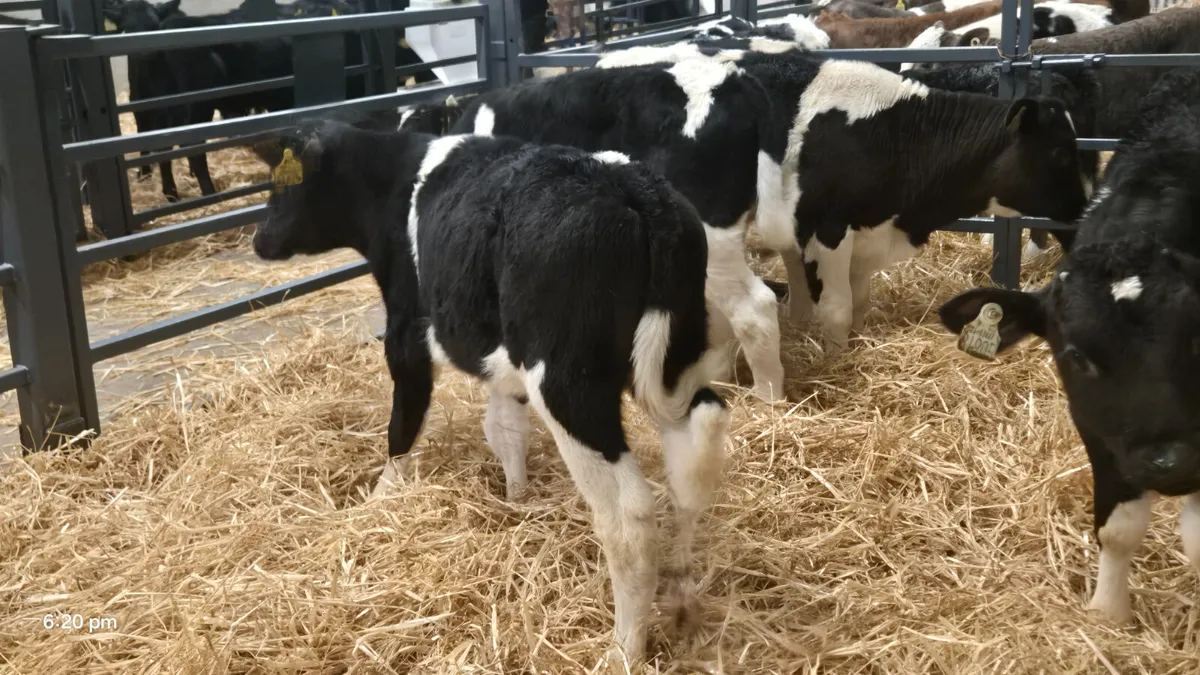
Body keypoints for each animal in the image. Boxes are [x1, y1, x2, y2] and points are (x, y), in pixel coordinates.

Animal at [251, 120, 731, 666]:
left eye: (282, 183)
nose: (258, 239)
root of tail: (634, 189)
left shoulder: (405, 337)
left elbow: (402, 427)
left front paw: (380, 500)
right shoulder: (504, 366)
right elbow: (505, 430)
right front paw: (515, 499)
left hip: (568, 384)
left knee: (629, 515)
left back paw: (624, 649)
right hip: (679, 356)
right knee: (698, 441)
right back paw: (683, 596)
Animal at [938, 68, 1200, 624]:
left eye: (1196, 336)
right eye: (1077, 355)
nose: (1171, 460)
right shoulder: (1099, 430)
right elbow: (1118, 530)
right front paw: (1108, 612)